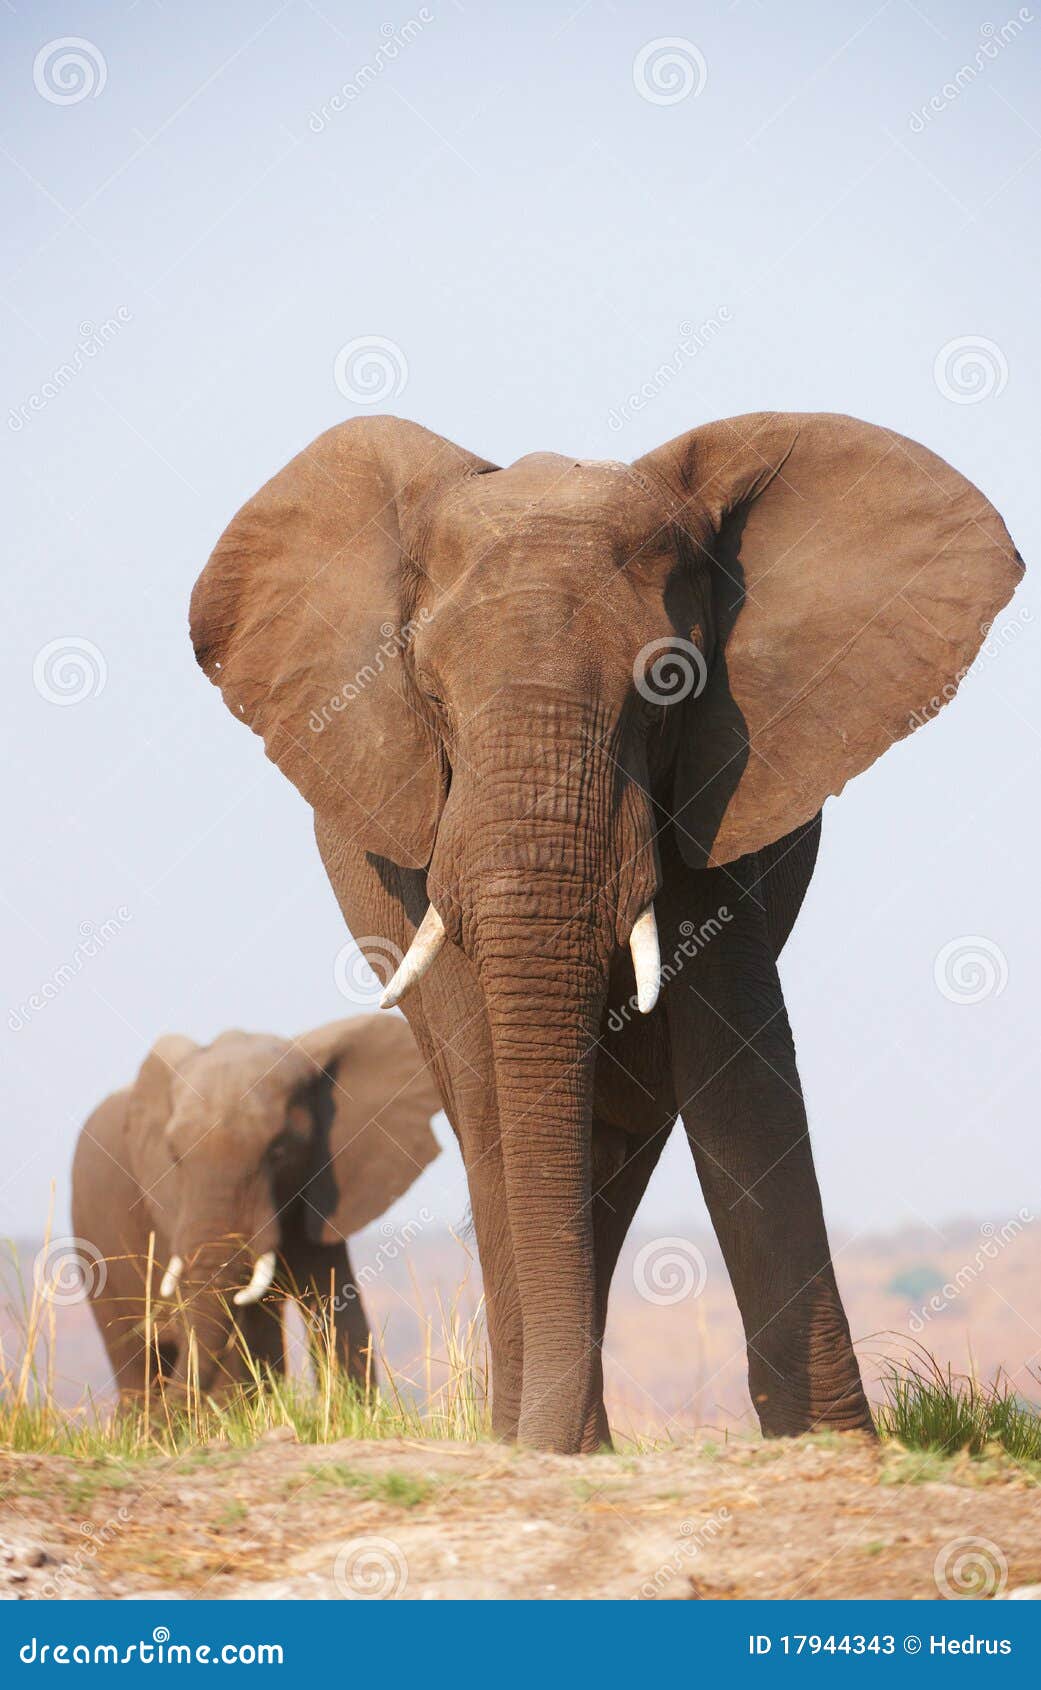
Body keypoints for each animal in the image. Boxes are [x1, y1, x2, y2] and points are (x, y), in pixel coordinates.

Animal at [189, 410, 1022, 1453]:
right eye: (429, 694)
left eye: (669, 683)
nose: (544, 1440)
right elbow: (490, 1071)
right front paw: (554, 1447)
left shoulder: (727, 775)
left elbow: (735, 1056)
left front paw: (833, 1447)